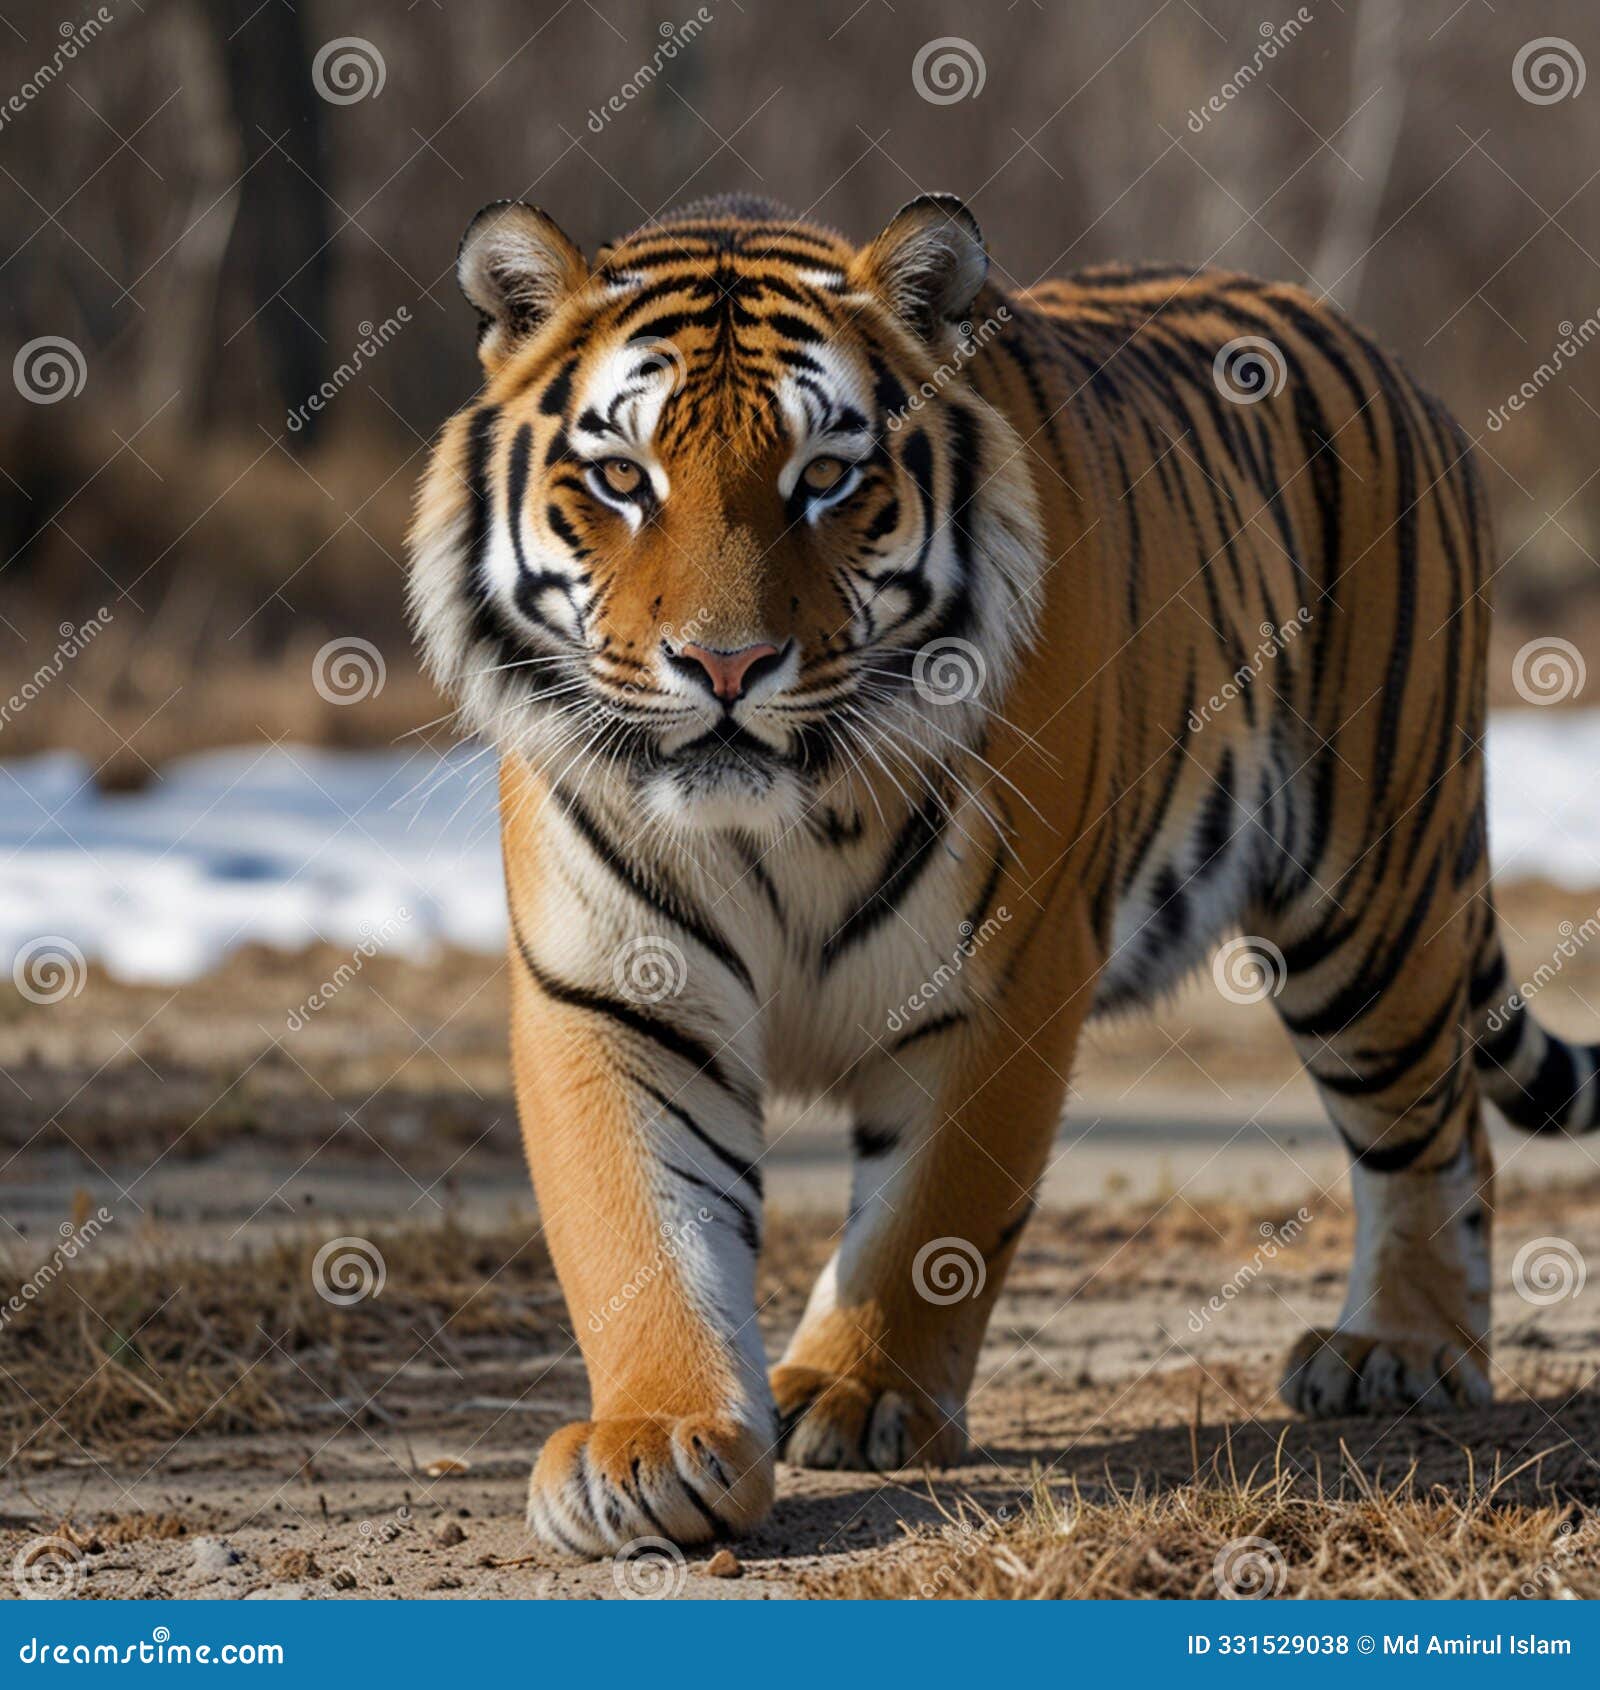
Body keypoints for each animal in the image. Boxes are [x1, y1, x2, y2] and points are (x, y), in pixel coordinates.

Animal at [407, 191, 1598, 1557]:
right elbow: (641, 1229)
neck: (775, 823)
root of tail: (1369, 346)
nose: (725, 665)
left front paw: (859, 1390)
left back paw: (1399, 1349)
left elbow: (934, 1211)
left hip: (1368, 892)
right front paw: (656, 1443)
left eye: (826, 476)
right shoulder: (611, 990)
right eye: (620, 478)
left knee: (1433, 1124)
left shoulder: (1005, 976)